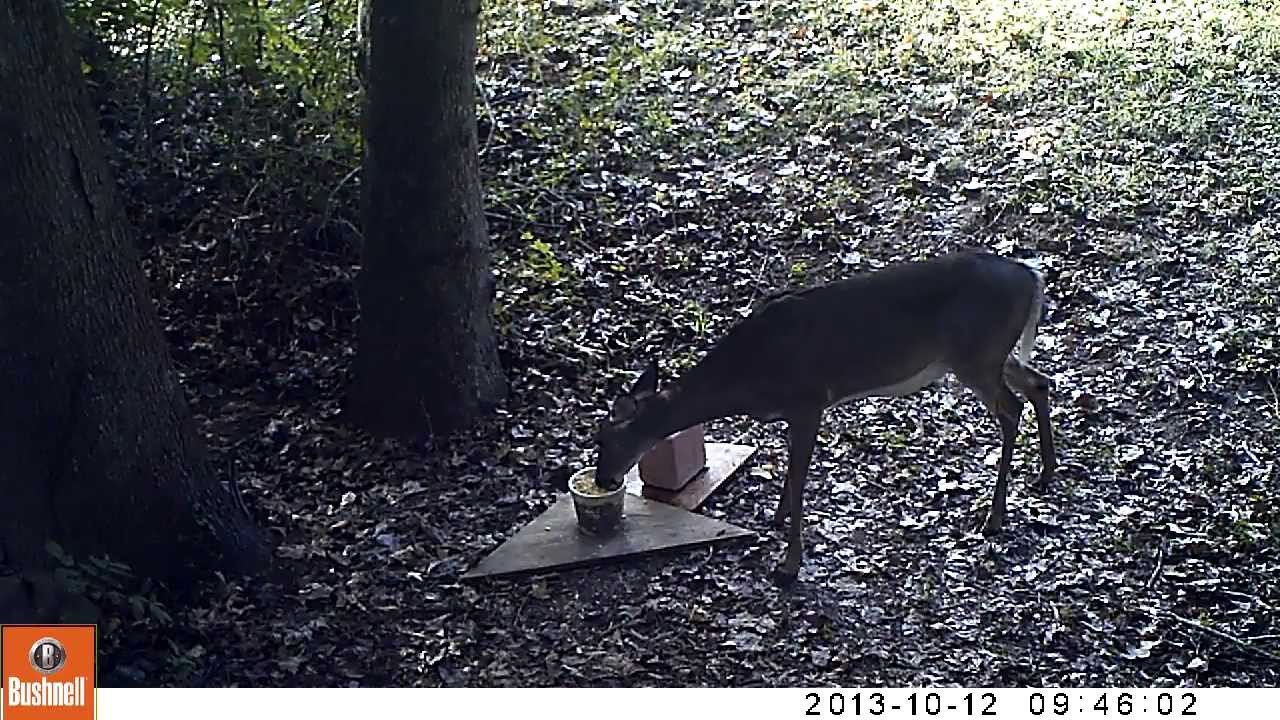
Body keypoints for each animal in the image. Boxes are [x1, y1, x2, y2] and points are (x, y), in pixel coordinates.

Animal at [591, 250, 1057, 584]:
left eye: (604, 438)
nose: (603, 481)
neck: (746, 374)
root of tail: (1031, 275)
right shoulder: (792, 411)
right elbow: (790, 473)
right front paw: (777, 519)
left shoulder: (808, 400)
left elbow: (800, 480)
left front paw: (788, 565)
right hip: (988, 354)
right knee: (1040, 383)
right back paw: (1044, 476)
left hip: (976, 356)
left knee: (1011, 409)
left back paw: (994, 517)